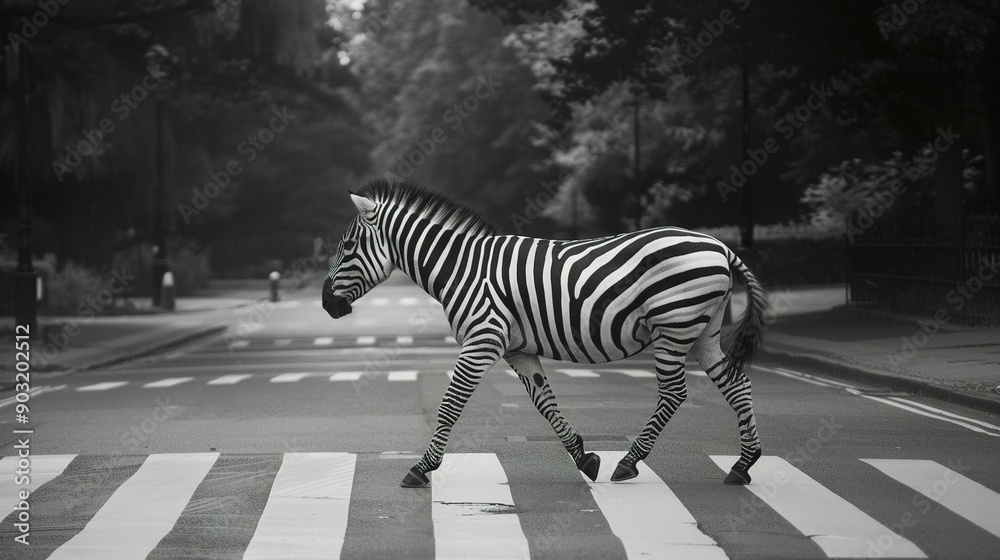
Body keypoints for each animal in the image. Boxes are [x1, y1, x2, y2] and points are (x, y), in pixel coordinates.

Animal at [322, 179, 767, 487]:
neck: (462, 268)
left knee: (675, 393)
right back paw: (742, 465)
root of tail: (720, 246)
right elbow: (544, 402)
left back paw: (629, 462)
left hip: (674, 327)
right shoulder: (516, 349)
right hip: (702, 332)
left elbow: (451, 404)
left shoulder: (482, 340)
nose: (326, 303)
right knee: (738, 385)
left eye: (348, 246)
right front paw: (584, 458)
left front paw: (421, 467)